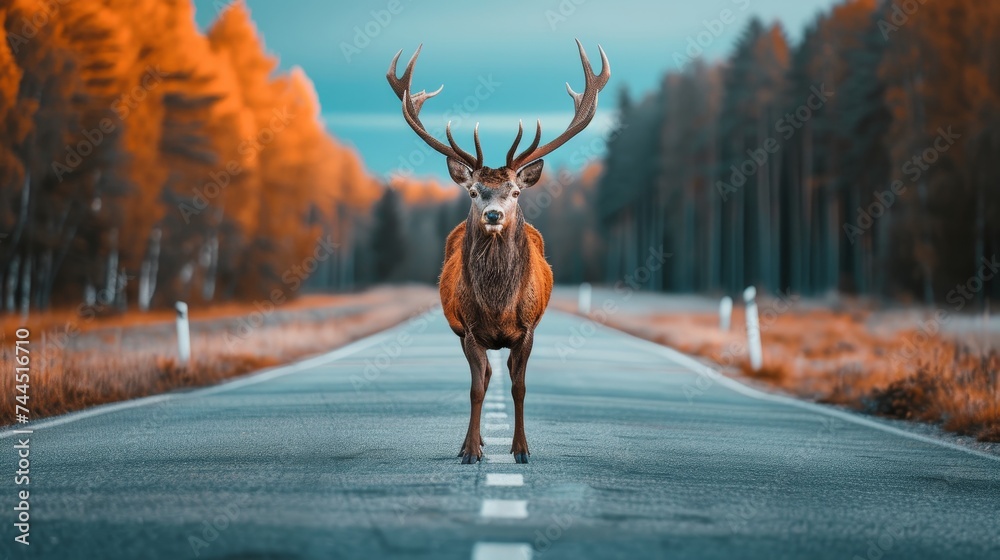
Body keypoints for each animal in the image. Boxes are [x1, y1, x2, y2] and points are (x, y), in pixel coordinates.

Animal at [387, 40, 610, 464]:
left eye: (516, 191)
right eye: (475, 191)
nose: (493, 214)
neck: (497, 305)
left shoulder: (527, 330)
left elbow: (519, 387)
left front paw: (521, 449)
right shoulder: (470, 329)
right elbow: (476, 388)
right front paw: (471, 450)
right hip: (459, 331)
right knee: (486, 377)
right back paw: (470, 442)